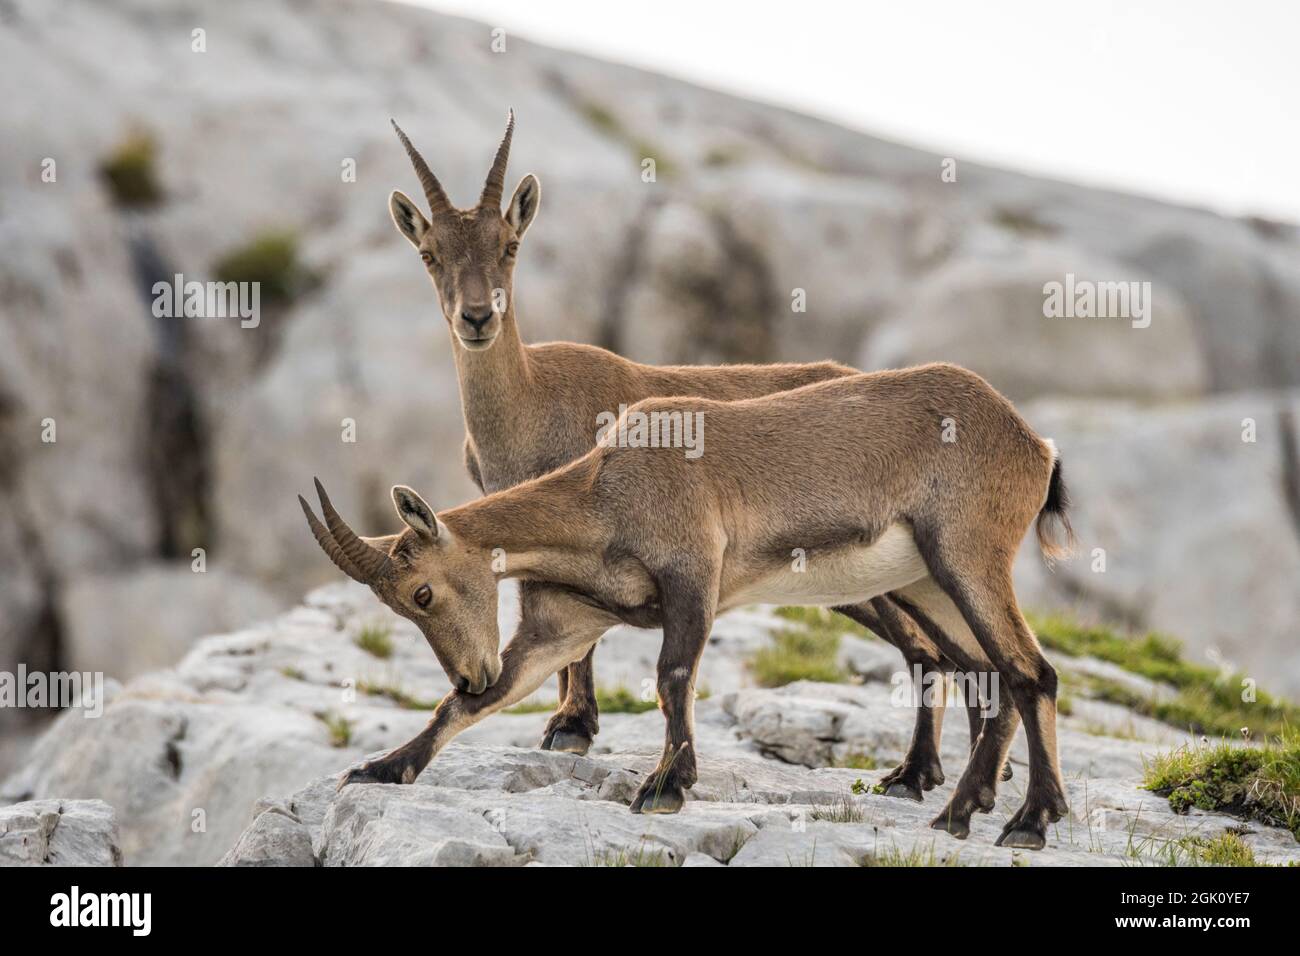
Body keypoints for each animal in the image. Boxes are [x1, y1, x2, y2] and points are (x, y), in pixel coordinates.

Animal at [300, 363, 1075, 849]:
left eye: (422, 591)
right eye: (404, 607)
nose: (469, 670)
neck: (602, 492)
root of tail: (1034, 444)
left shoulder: (694, 576)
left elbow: (673, 679)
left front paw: (666, 785)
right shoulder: (568, 621)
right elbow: (470, 707)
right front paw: (381, 768)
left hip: (967, 558)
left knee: (1030, 672)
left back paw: (1026, 820)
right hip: (926, 584)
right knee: (984, 672)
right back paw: (960, 807)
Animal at [383, 111, 1004, 801]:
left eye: (509, 245)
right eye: (430, 253)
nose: (476, 318)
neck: (529, 404)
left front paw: (573, 726)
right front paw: (568, 722)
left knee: (934, 651)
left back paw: (931, 773)